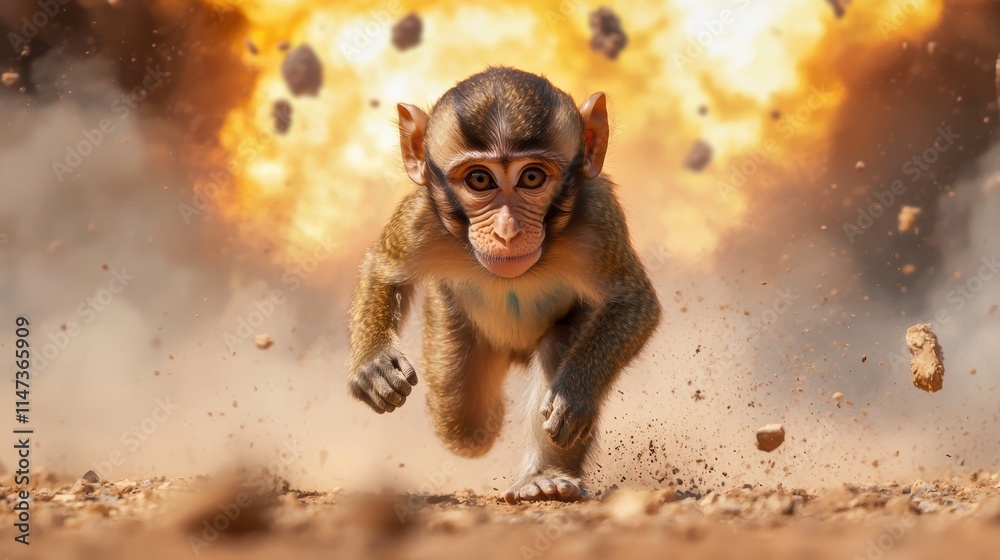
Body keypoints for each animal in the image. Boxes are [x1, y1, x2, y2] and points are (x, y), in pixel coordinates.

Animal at [347, 67, 661, 503]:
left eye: (532, 177)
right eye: (480, 179)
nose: (508, 230)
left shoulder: (598, 218)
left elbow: (633, 301)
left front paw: (576, 393)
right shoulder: (419, 218)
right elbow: (384, 270)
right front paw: (374, 364)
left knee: (554, 347)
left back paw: (544, 478)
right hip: (450, 325)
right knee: (464, 423)